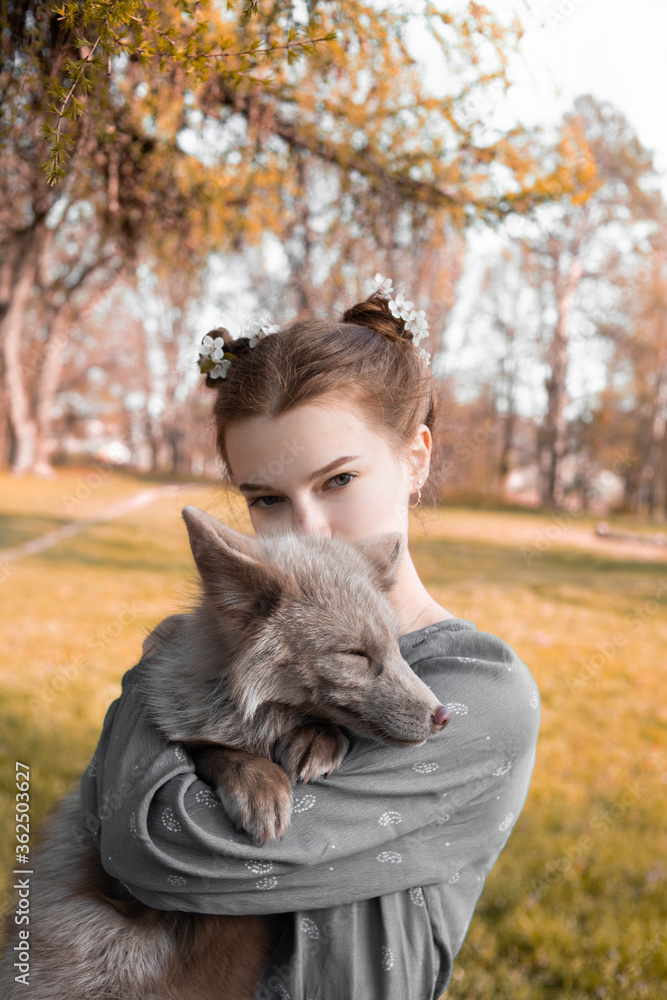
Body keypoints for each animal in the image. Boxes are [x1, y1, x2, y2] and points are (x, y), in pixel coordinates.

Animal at [0, 506, 451, 1000]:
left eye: (396, 648)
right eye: (354, 654)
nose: (444, 715)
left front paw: (318, 736)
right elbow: (210, 750)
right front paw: (258, 781)